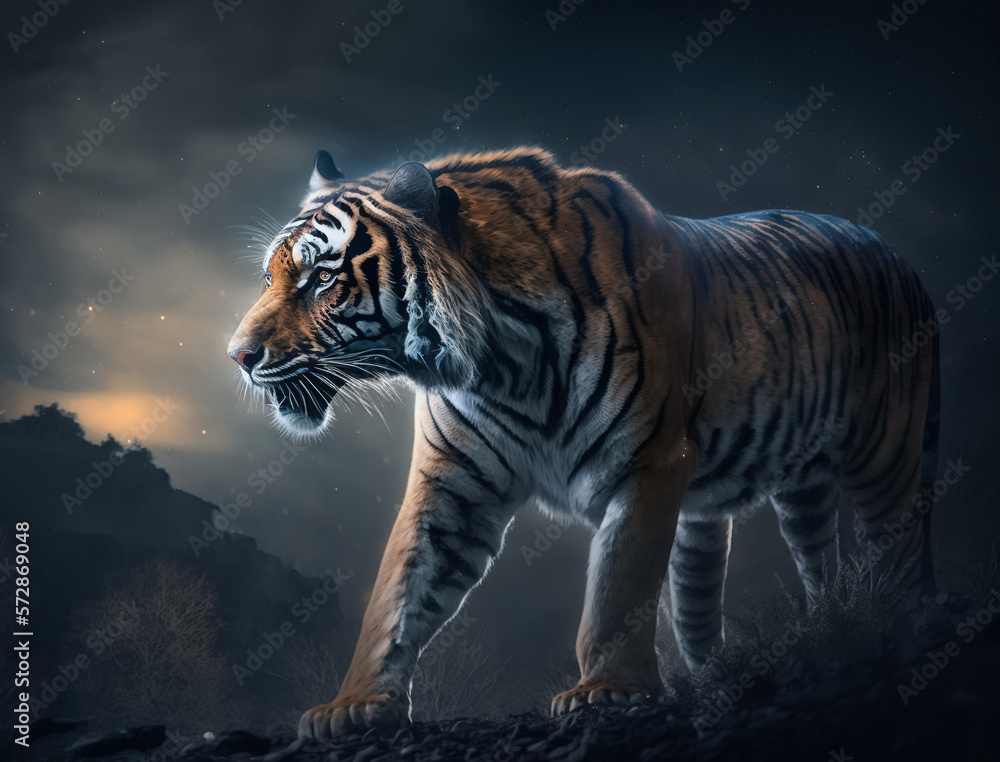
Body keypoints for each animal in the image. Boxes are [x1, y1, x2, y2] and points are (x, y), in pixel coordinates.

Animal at [227, 147, 939, 739]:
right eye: (269, 278)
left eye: (322, 280)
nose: (238, 356)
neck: (504, 362)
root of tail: (889, 246)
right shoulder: (451, 483)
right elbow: (398, 592)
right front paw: (354, 705)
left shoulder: (647, 466)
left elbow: (618, 588)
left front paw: (607, 692)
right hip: (761, 500)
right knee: (782, 576)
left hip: (889, 457)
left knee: (899, 558)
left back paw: (885, 640)